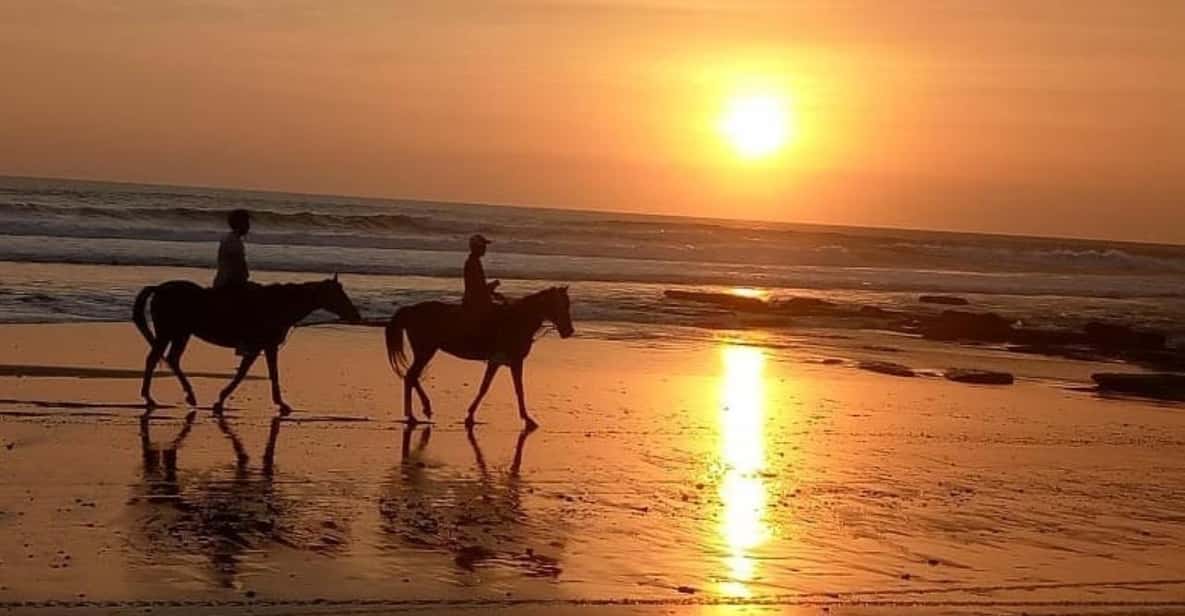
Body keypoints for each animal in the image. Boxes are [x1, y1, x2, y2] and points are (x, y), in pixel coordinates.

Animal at [132, 276, 362, 414]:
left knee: (171, 359)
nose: (356, 316)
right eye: (338, 295)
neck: (279, 304)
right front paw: (281, 404)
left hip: (180, 334)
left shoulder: (260, 347)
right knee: (154, 359)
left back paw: (188, 395)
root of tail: (160, 289)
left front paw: (221, 399)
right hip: (170, 332)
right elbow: (260, 373)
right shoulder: (265, 345)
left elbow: (248, 372)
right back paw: (151, 398)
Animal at [384, 286, 574, 428]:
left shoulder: (498, 362)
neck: (517, 320)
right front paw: (528, 419)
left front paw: (470, 416)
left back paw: (420, 411)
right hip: (425, 351)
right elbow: (514, 390)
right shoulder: (513, 361)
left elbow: (488, 387)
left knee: (412, 377)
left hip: (426, 351)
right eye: (562, 305)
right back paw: (415, 414)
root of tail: (411, 310)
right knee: (411, 376)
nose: (569, 331)